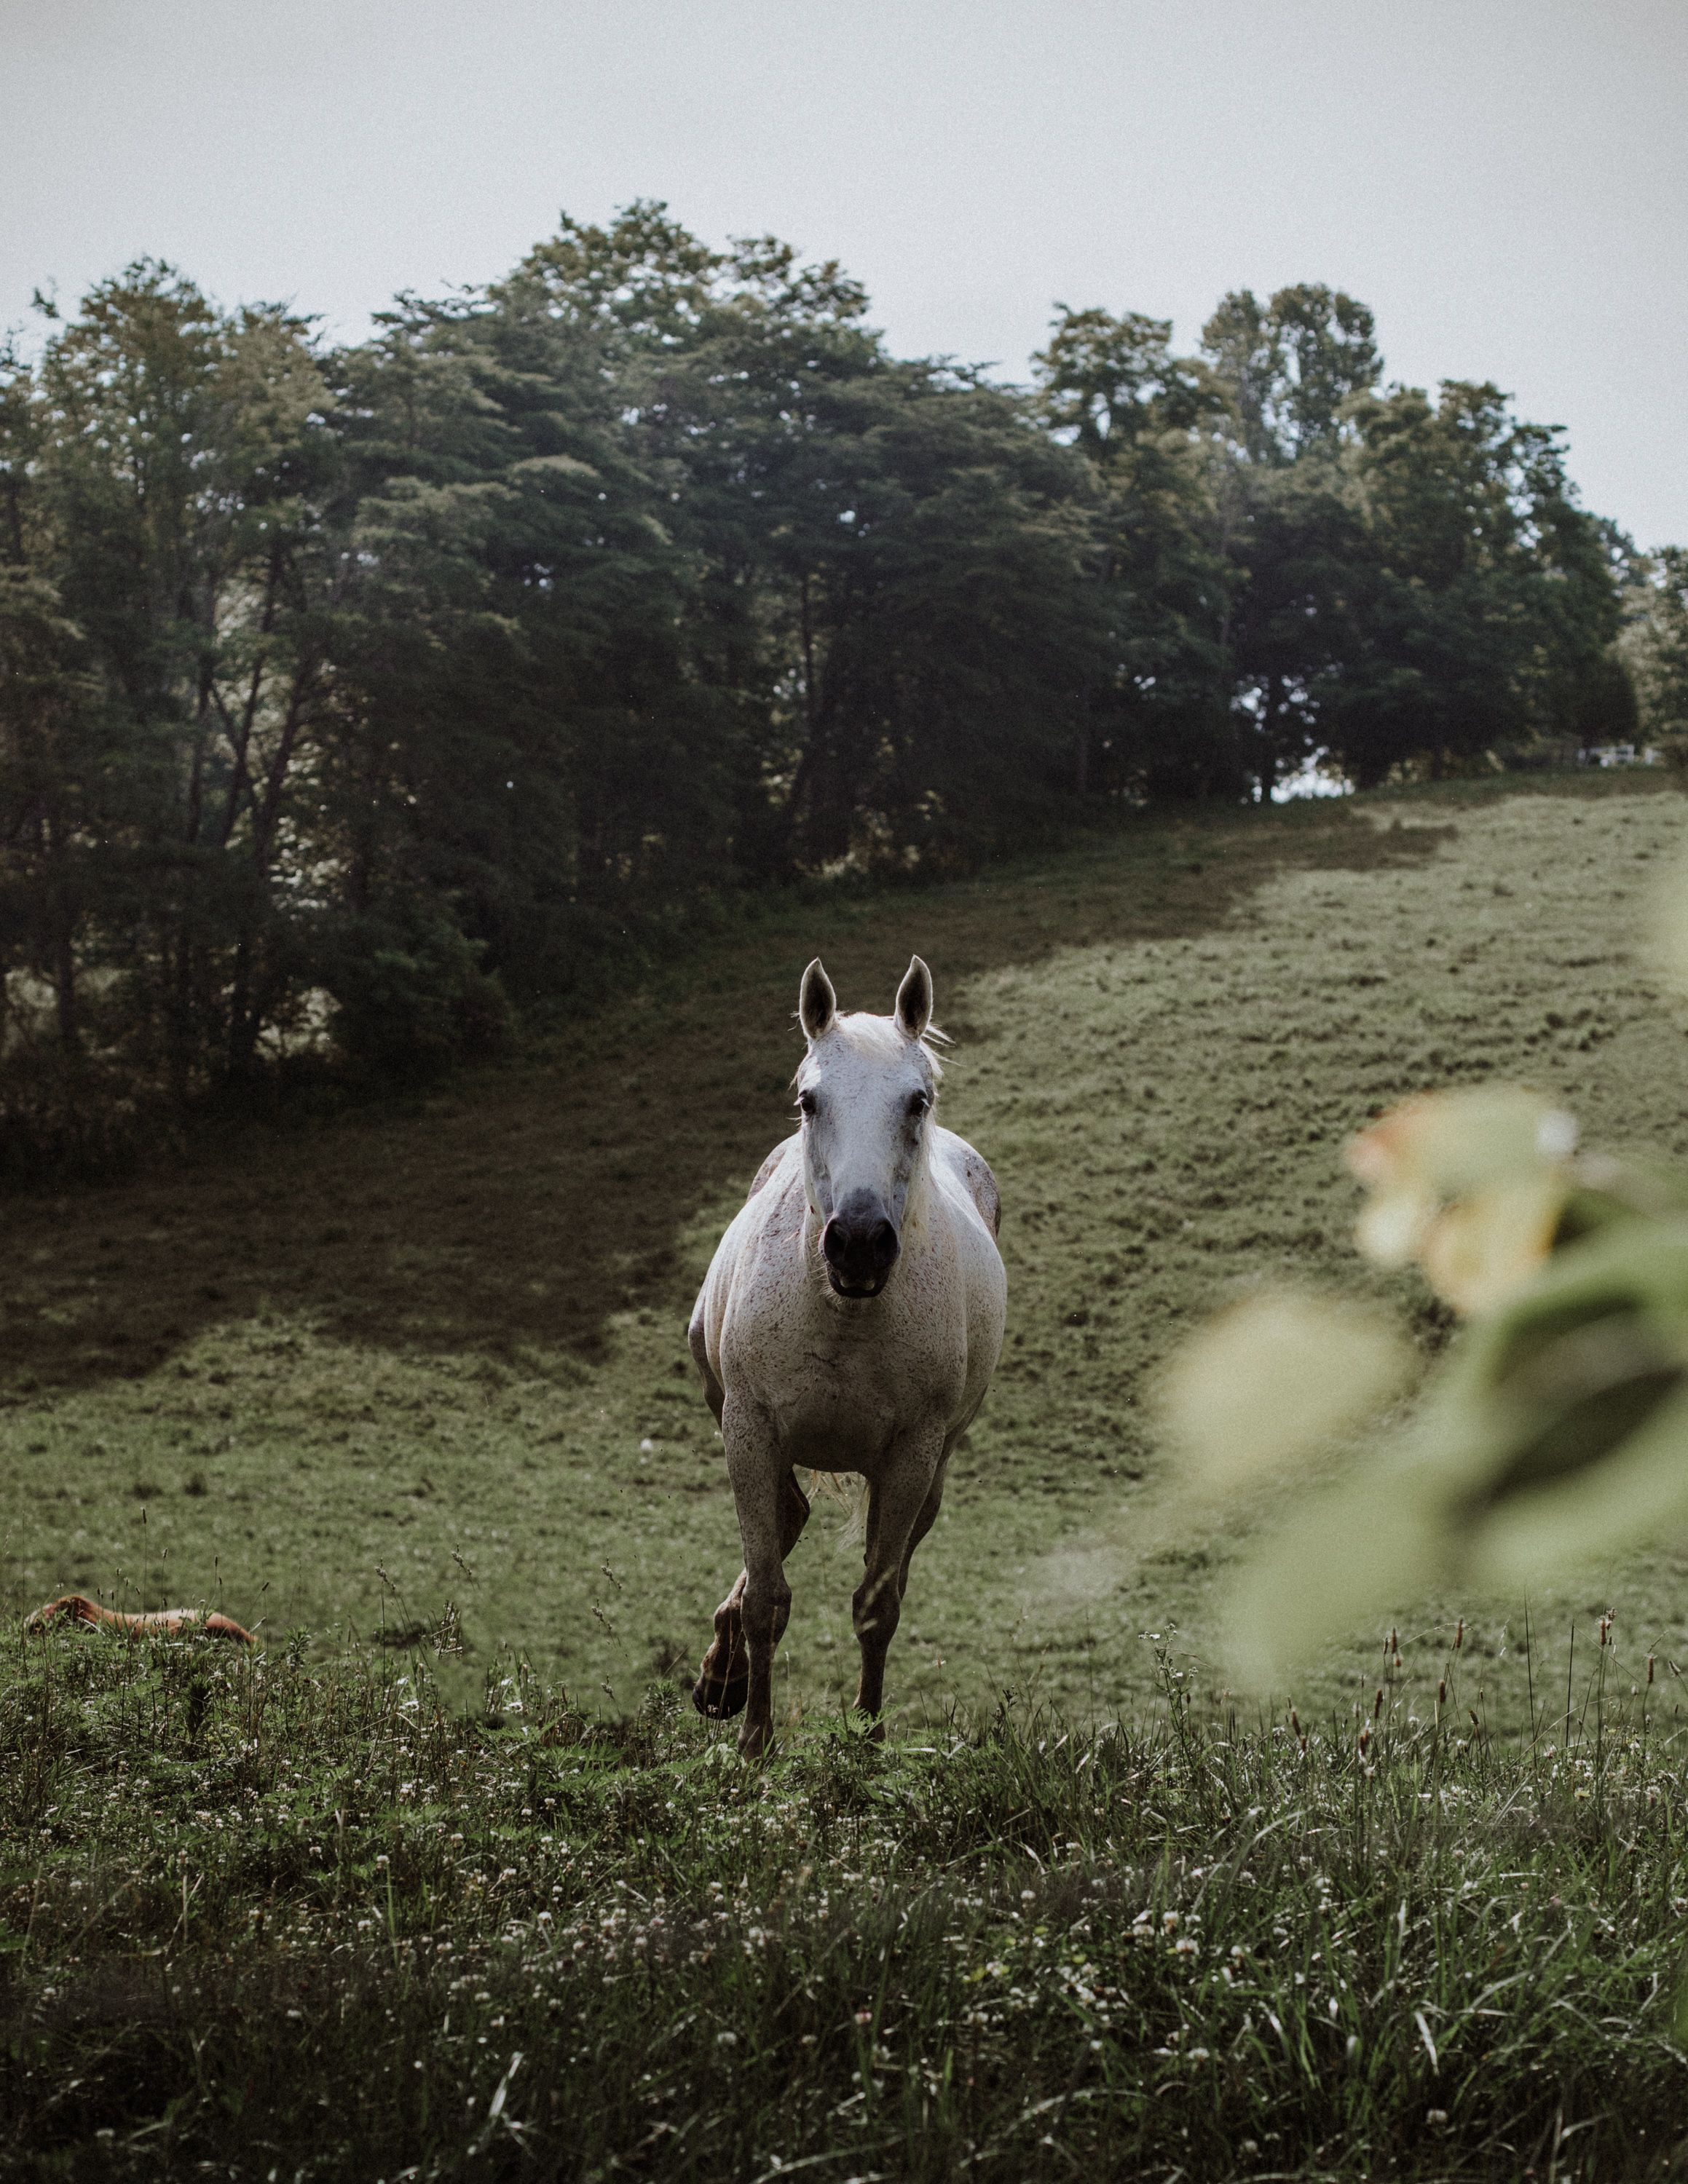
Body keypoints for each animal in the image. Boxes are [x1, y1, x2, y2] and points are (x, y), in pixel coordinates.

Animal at [687, 954, 1006, 1757]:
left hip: (932, 1470)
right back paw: (722, 1677)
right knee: (785, 1521)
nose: (858, 1243)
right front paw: (755, 1741)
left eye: (916, 1101)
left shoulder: (910, 1457)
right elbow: (768, 1597)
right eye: (808, 1100)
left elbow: (876, 1605)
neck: (843, 1316)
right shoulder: (749, 1427)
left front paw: (866, 1737)